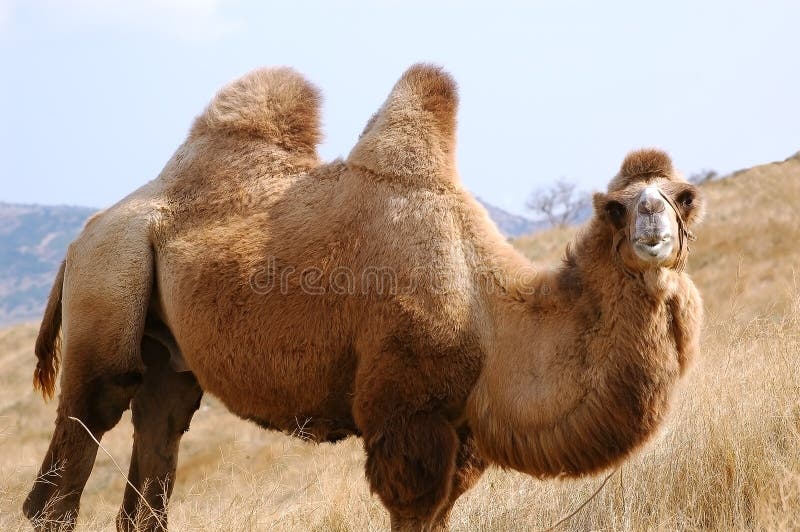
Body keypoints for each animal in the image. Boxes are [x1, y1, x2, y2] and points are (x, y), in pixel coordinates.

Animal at [23, 64, 704, 531]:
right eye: (617, 207)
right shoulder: (405, 412)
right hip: (109, 283)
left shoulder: (460, 429)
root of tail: (83, 236)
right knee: (77, 447)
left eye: (683, 195)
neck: (490, 314)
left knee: (157, 437)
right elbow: (412, 507)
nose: (654, 226)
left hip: (168, 356)